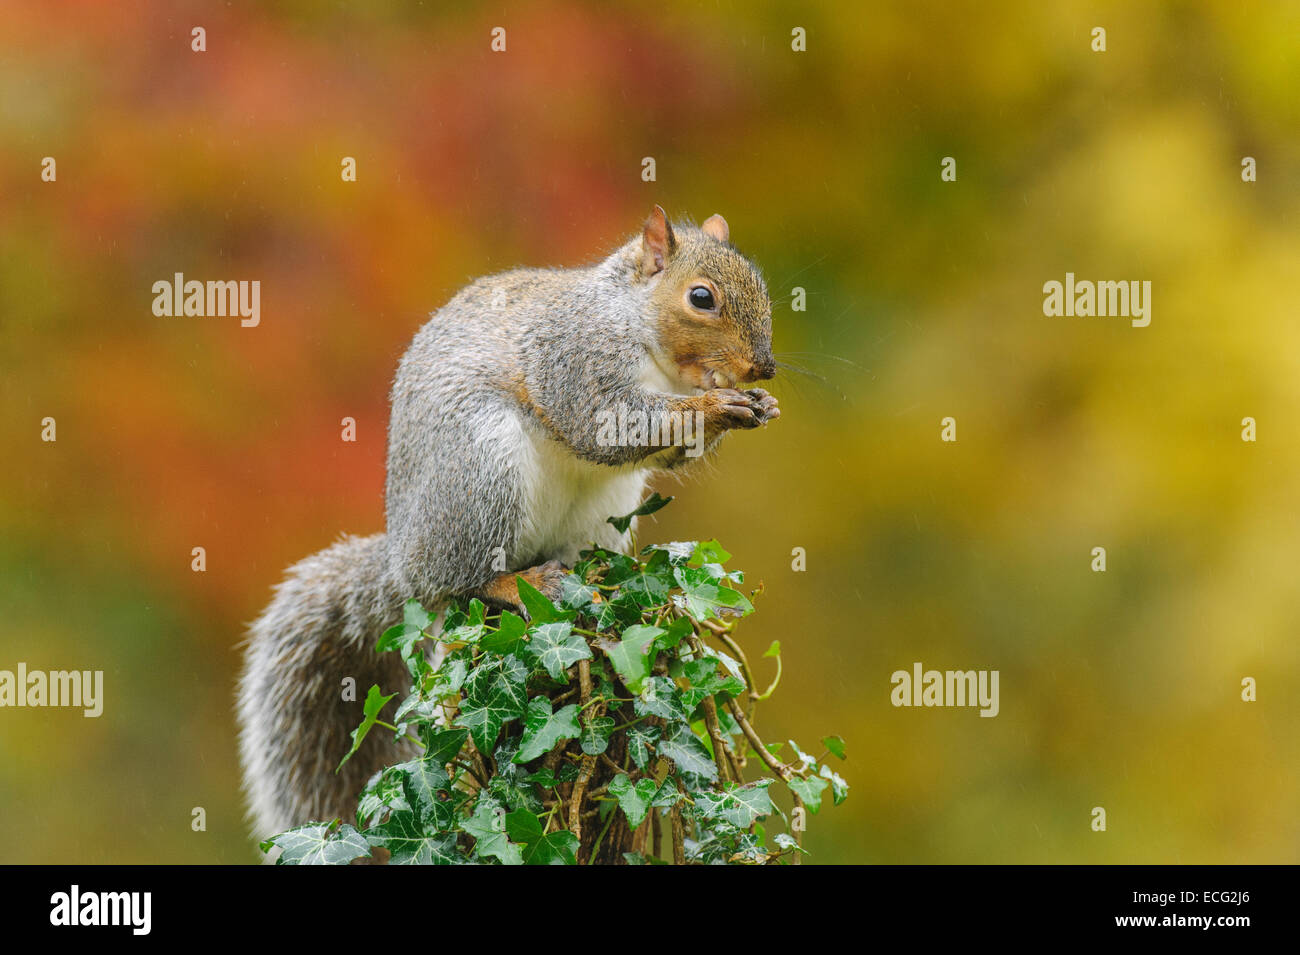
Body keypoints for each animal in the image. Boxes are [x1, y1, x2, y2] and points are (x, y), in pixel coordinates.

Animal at [235, 206, 780, 845]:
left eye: (763, 287)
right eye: (701, 298)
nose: (764, 368)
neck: (644, 335)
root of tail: (403, 564)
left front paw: (751, 405)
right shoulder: (576, 357)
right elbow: (604, 424)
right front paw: (717, 406)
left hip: (604, 510)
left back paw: (591, 579)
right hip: (482, 471)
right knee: (466, 581)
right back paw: (524, 584)